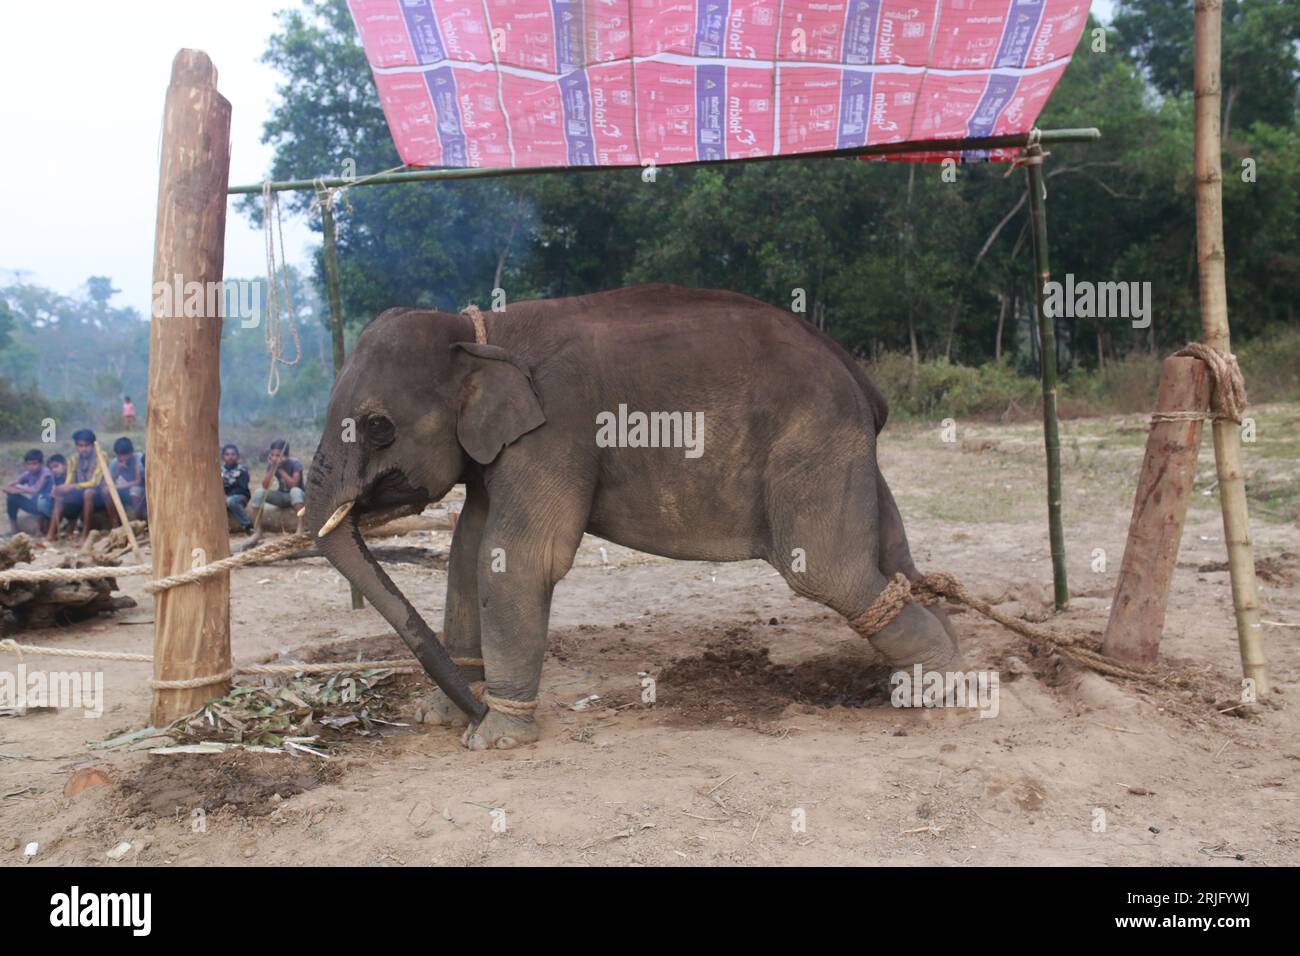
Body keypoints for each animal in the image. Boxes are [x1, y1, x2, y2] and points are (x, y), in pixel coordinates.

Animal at [307, 284, 959, 750]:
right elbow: (470, 549)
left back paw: (935, 692)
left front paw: (495, 737)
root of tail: (859, 376)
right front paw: (442, 717)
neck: (480, 333)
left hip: (815, 441)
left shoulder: (556, 430)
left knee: (825, 569)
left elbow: (521, 557)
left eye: (378, 427)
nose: (474, 711)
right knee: (894, 562)